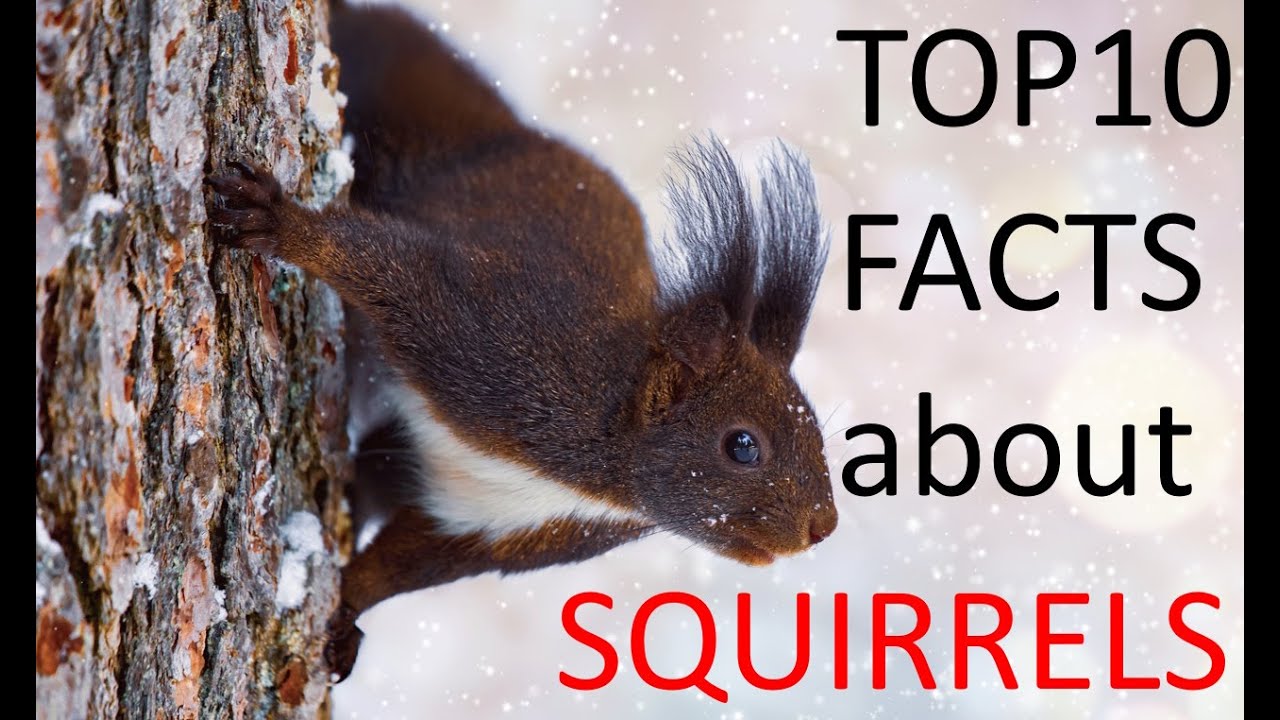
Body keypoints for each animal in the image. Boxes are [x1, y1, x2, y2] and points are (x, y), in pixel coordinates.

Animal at [206, 1, 837, 681]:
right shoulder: (498, 337)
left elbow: (398, 566)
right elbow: (392, 269)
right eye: (743, 445)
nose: (823, 527)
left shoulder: (492, 529)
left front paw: (345, 615)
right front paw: (282, 224)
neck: (593, 472)